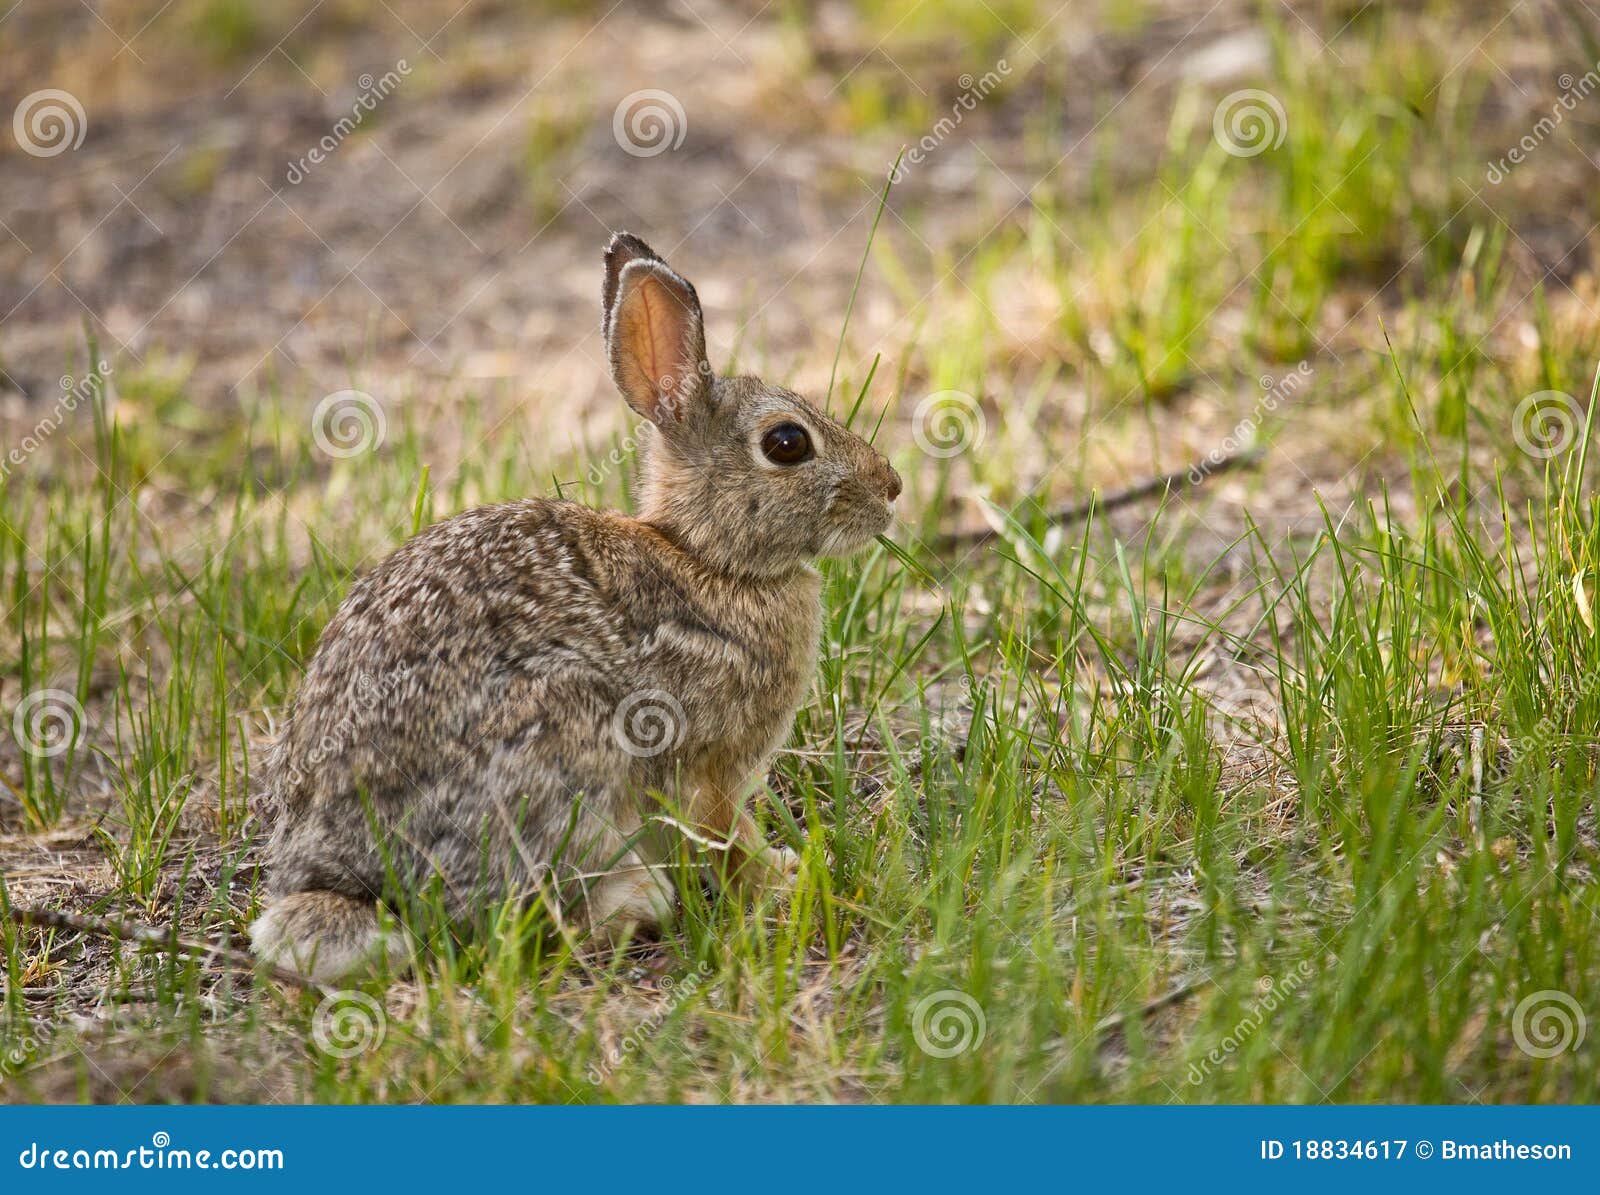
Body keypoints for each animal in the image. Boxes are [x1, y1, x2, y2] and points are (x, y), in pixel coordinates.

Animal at [249, 232, 903, 981]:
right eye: (788, 443)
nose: (891, 486)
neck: (708, 559)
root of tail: (341, 877)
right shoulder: (705, 767)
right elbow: (723, 837)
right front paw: (783, 882)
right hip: (564, 745)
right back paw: (636, 903)